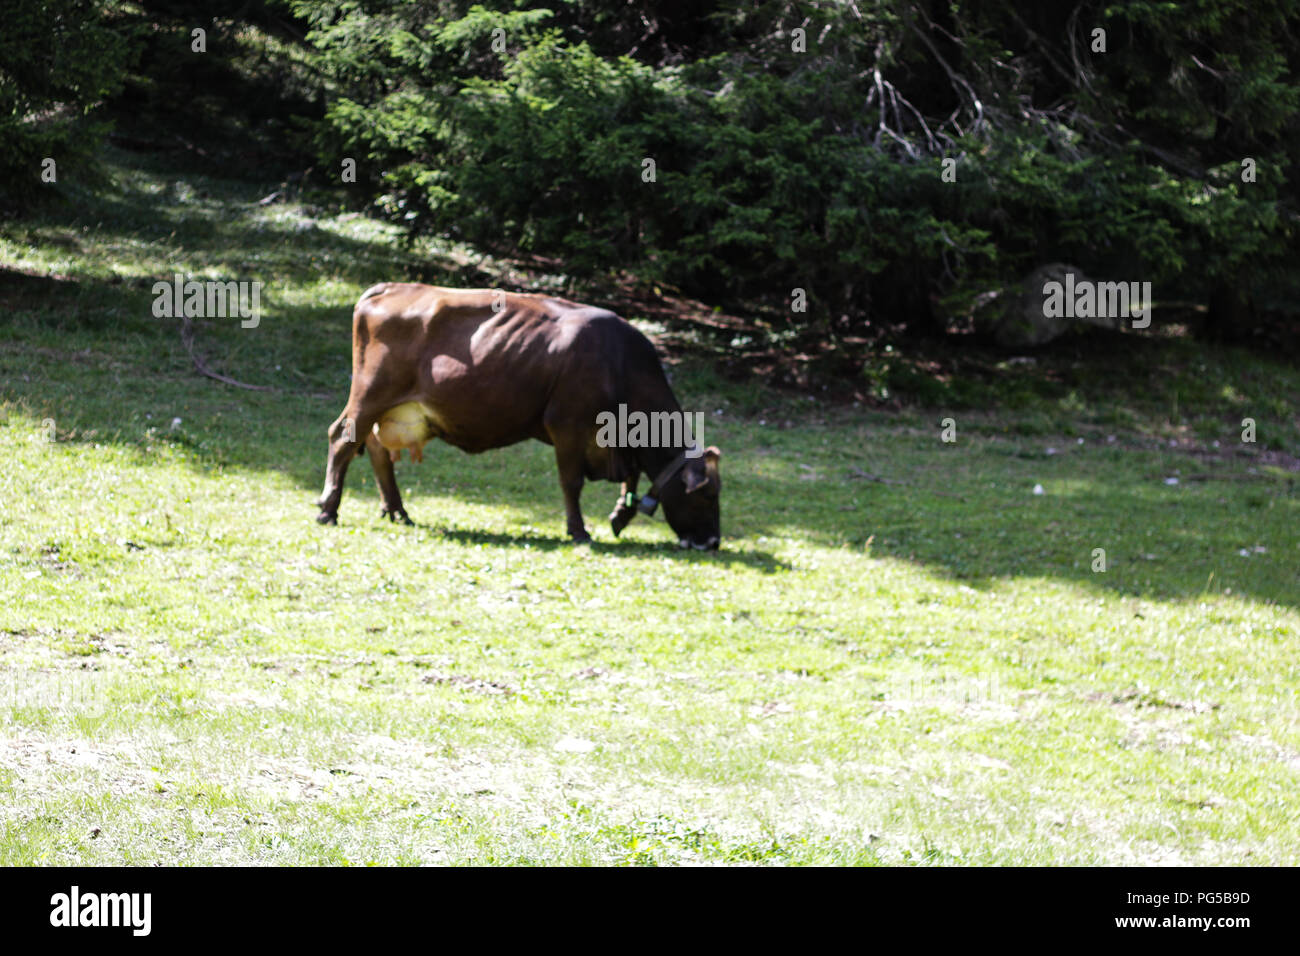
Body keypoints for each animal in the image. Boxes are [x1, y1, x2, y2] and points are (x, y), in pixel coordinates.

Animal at [316, 284, 722, 549]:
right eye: (705, 495)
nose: (713, 542)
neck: (618, 364)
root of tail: (387, 288)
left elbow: (632, 476)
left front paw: (620, 516)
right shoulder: (568, 426)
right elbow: (572, 482)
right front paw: (579, 531)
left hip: (389, 407)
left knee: (375, 449)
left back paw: (397, 510)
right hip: (370, 395)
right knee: (342, 438)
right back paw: (328, 510)